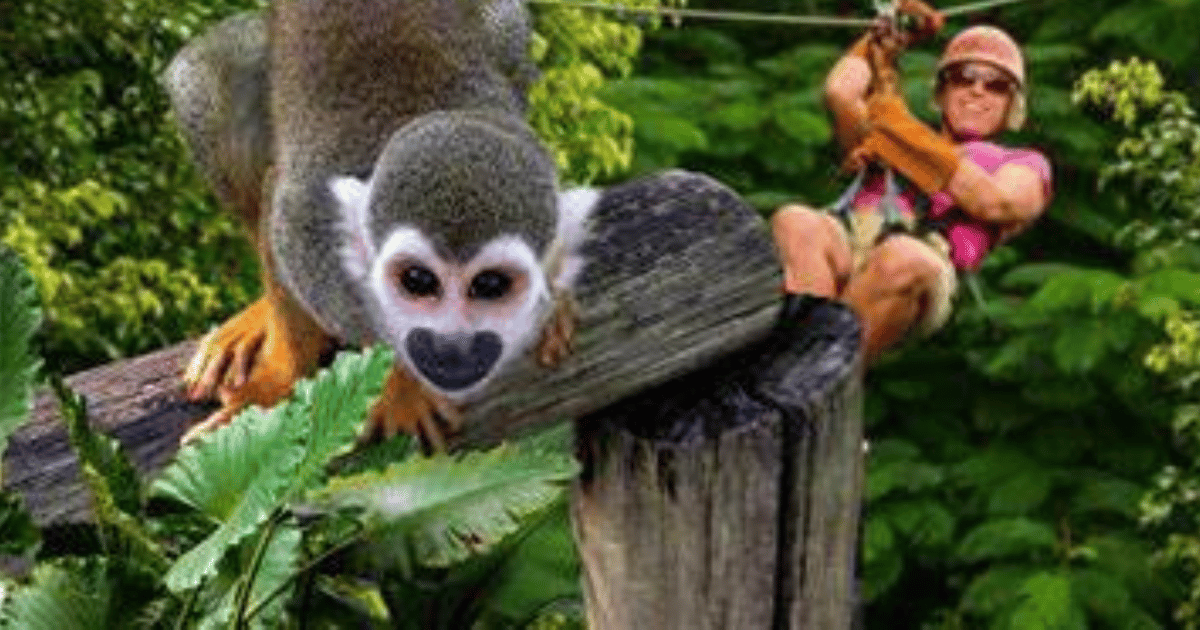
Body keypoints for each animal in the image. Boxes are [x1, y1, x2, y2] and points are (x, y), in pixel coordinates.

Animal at [164, 0, 593, 448]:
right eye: (420, 282)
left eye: (492, 286)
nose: (455, 343)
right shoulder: (309, 219)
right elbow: (279, 220)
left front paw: (551, 303)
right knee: (200, 79)